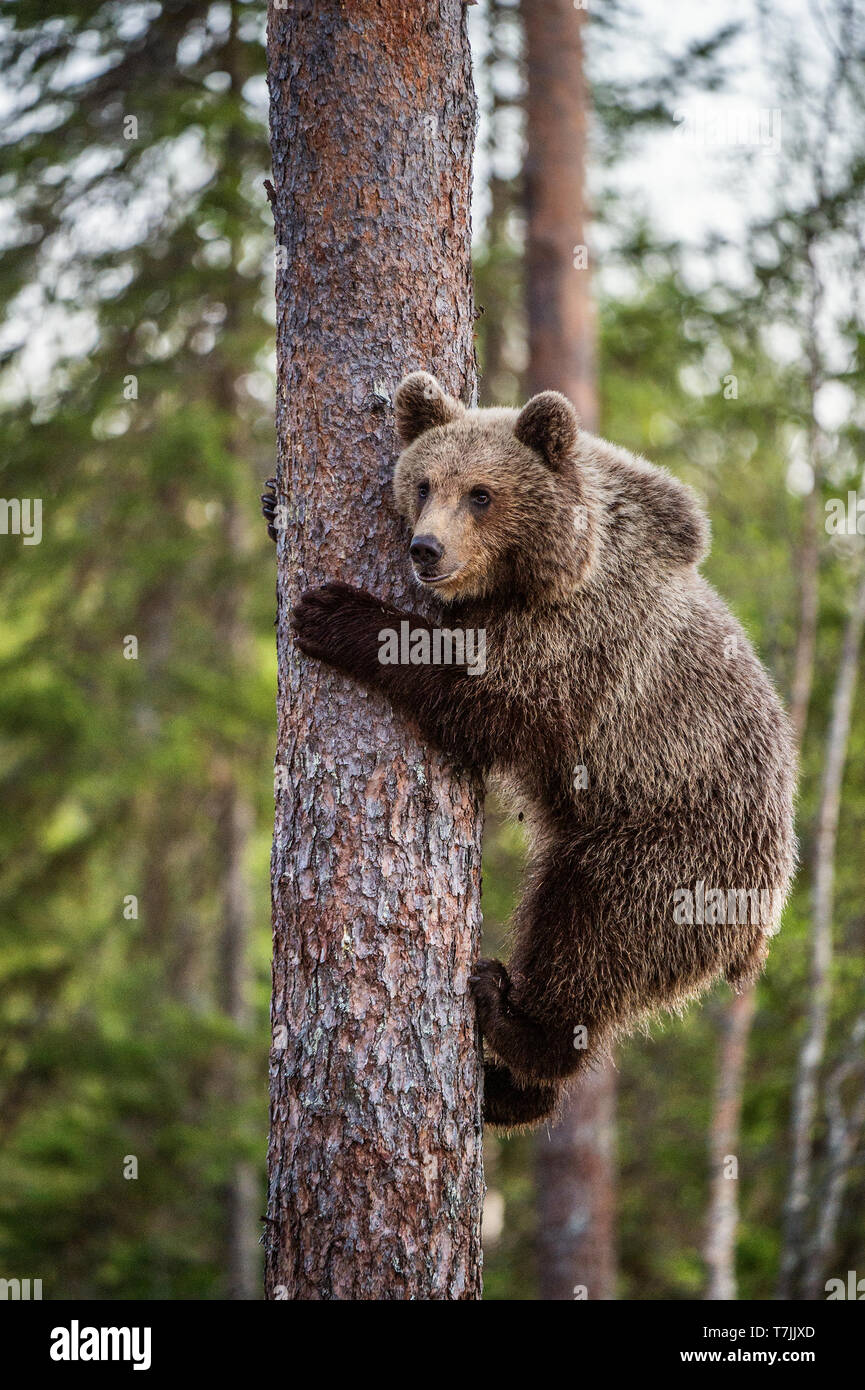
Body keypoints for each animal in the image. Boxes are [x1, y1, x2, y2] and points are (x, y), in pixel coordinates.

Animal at [263, 371, 797, 1129]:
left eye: (481, 494)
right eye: (423, 484)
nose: (425, 549)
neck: (543, 570)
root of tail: (761, 924)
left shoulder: (581, 644)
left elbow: (491, 705)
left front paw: (337, 614)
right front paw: (272, 503)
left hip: (673, 850)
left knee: (591, 926)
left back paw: (512, 1017)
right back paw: (508, 1091)